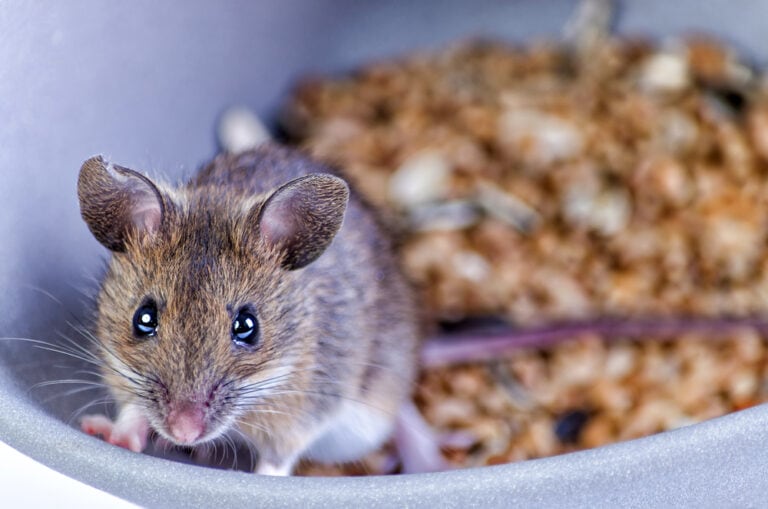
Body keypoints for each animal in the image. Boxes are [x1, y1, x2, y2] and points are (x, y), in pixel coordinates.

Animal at [76, 144, 420, 475]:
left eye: (247, 326)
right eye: (143, 319)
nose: (184, 433)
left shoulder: (307, 410)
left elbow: (278, 460)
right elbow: (133, 410)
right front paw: (112, 434)